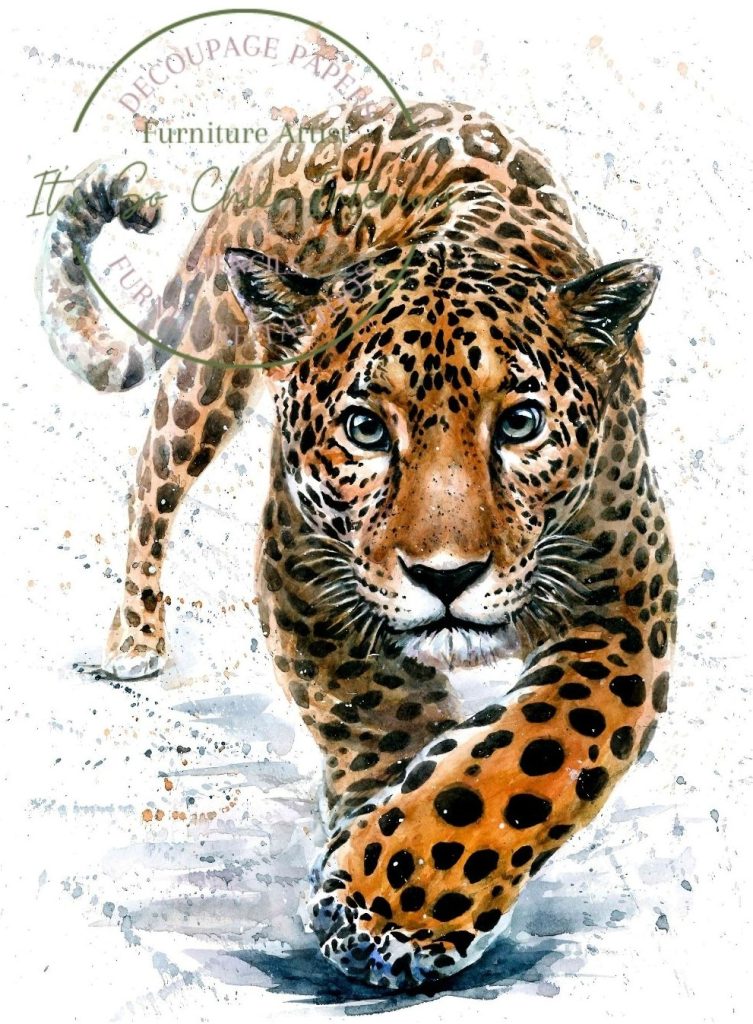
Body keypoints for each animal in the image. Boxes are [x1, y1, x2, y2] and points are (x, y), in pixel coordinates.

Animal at [39, 99, 676, 991]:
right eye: (366, 429)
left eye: (520, 423)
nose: (446, 576)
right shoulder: (302, 573)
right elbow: (377, 710)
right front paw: (382, 882)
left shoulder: (625, 603)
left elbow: (534, 750)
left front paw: (395, 903)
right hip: (208, 364)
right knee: (150, 484)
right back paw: (134, 638)